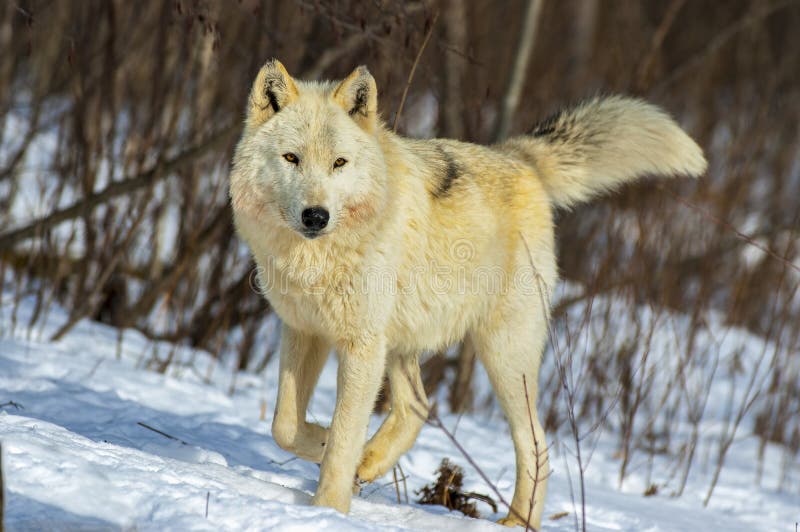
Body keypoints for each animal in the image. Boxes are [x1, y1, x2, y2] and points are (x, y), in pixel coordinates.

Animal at [229, 59, 706, 528]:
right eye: (291, 158)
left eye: (339, 163)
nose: (316, 216)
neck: (316, 259)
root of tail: (517, 157)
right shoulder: (304, 331)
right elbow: (284, 426)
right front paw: (330, 450)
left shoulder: (361, 345)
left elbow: (344, 434)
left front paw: (327, 509)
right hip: (403, 345)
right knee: (418, 407)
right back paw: (372, 461)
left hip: (503, 358)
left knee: (535, 443)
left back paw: (517, 522)